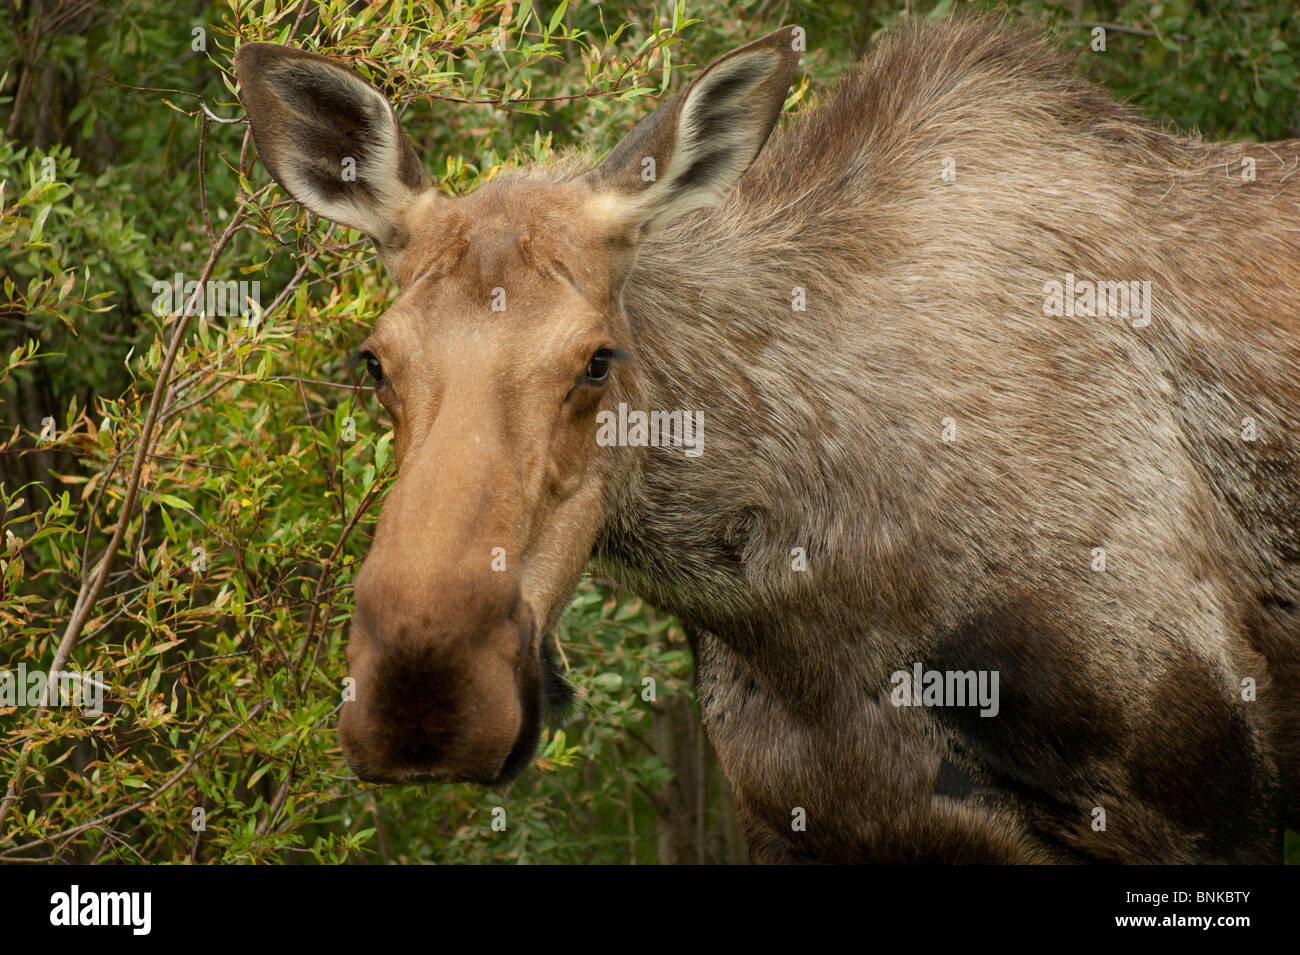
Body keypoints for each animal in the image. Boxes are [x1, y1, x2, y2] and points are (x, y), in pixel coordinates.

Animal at [235, 15, 1300, 863]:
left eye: (597, 358)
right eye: (375, 359)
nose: (424, 693)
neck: (802, 610)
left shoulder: (1203, 802)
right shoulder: (805, 815)